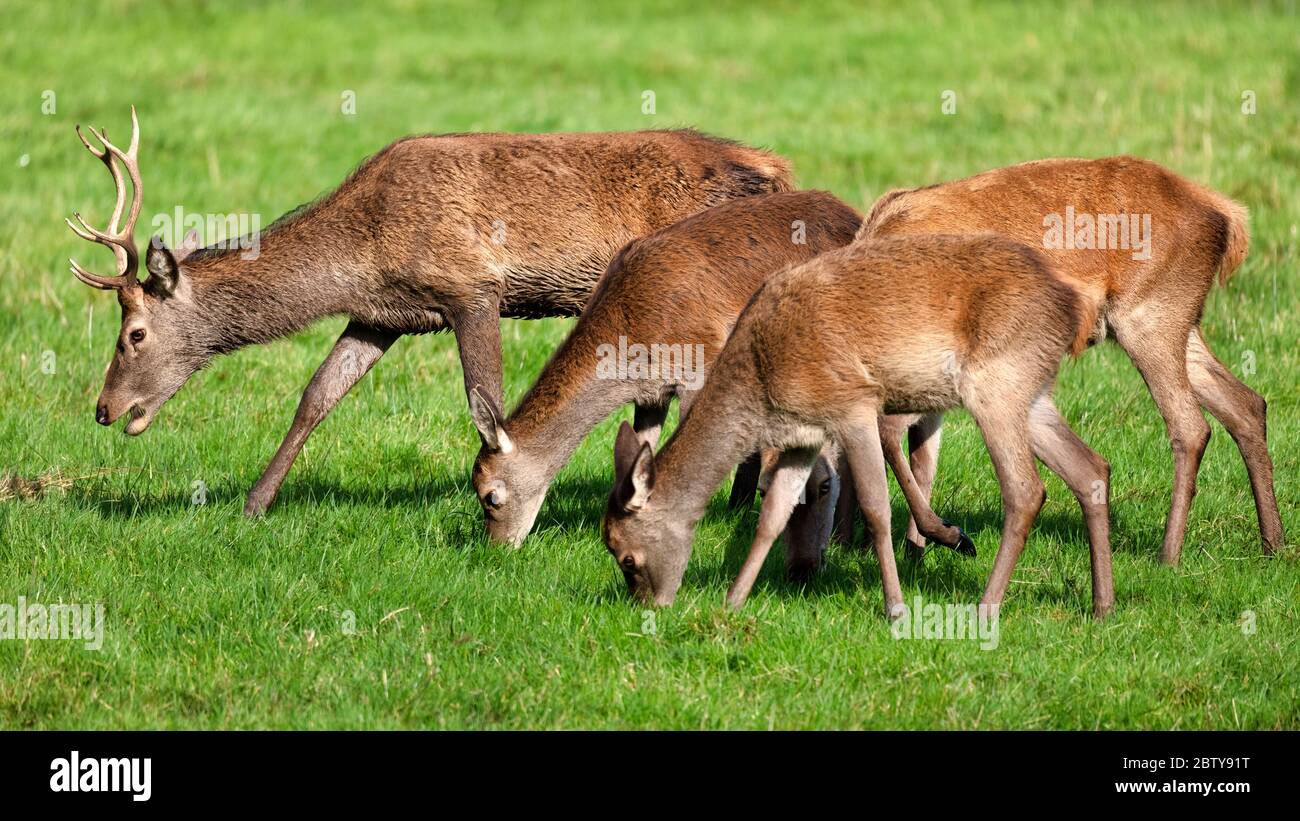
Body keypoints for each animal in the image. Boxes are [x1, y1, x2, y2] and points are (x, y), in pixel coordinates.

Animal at [63, 108, 793, 516]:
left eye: (133, 333)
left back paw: (735, 503)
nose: (103, 408)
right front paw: (254, 504)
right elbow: (317, 395)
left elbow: (485, 397)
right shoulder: (382, 315)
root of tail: (777, 168)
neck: (363, 251)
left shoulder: (471, 287)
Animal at [603, 233, 1115, 620]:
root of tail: (1074, 308)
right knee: (1090, 468)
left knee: (1026, 491)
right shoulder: (802, 438)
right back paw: (1102, 605)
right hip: (1033, 391)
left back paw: (986, 607)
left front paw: (896, 609)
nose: (651, 607)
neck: (764, 384)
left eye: (626, 556)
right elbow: (772, 517)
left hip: (995, 385)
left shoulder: (853, 405)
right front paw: (732, 602)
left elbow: (875, 506)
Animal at [824, 156, 1282, 566]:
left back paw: (1168, 555)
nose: (837, 544)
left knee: (1190, 425)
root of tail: (1227, 215)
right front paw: (921, 549)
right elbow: (921, 454)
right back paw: (1273, 543)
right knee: (1245, 402)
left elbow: (891, 439)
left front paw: (950, 538)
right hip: (1178, 320)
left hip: (1149, 316)